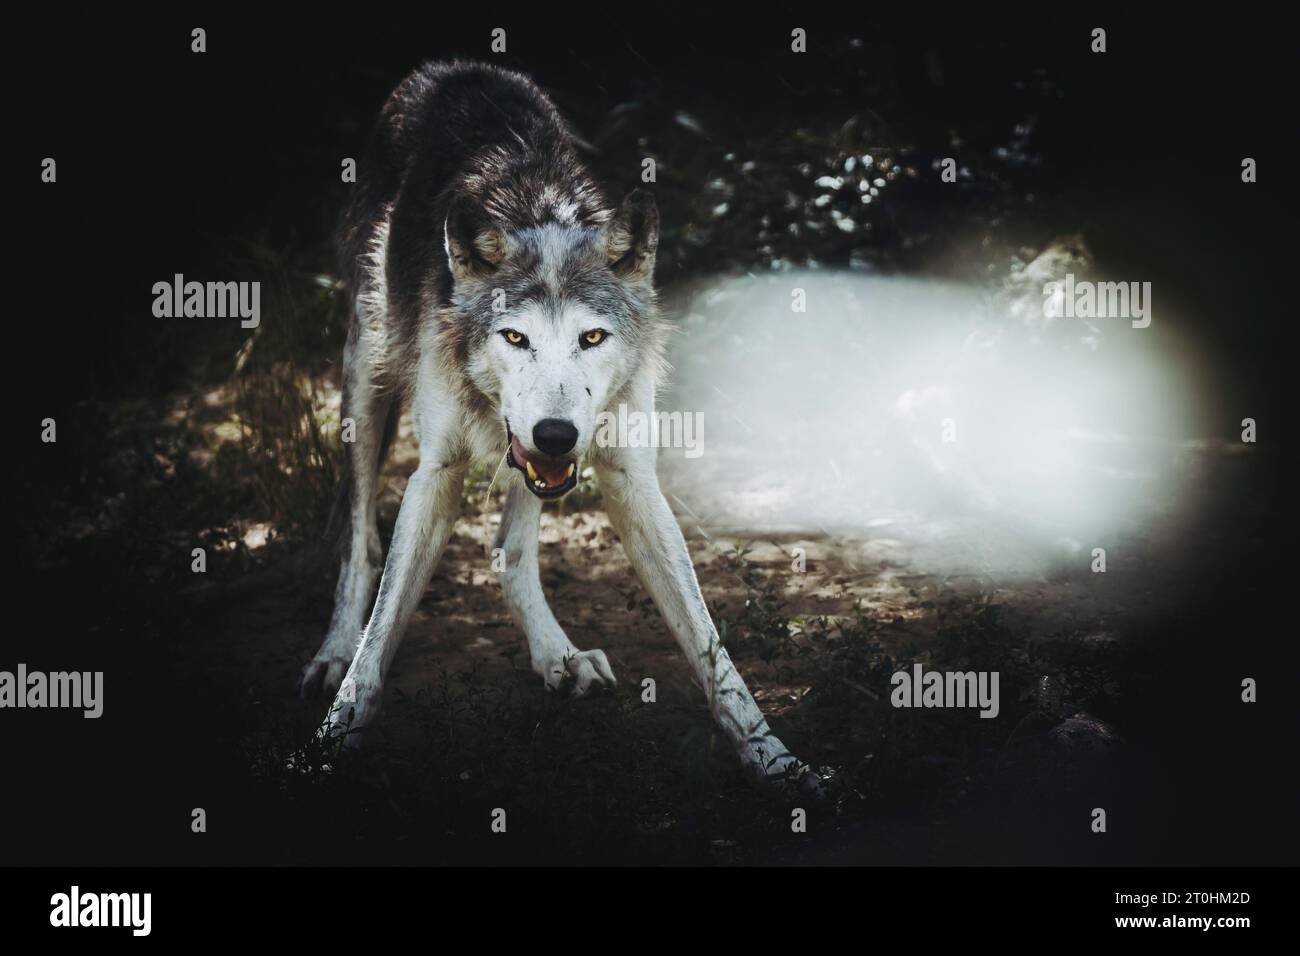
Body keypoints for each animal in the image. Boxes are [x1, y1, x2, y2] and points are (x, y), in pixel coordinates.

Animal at [299, 60, 810, 784]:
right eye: (514, 337)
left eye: (592, 338)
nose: (556, 434)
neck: (537, 215)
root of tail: (453, 69)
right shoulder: (436, 472)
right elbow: (380, 634)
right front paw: (331, 737)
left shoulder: (629, 474)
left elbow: (711, 645)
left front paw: (777, 760)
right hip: (364, 380)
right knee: (359, 541)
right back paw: (334, 648)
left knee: (511, 552)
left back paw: (558, 657)